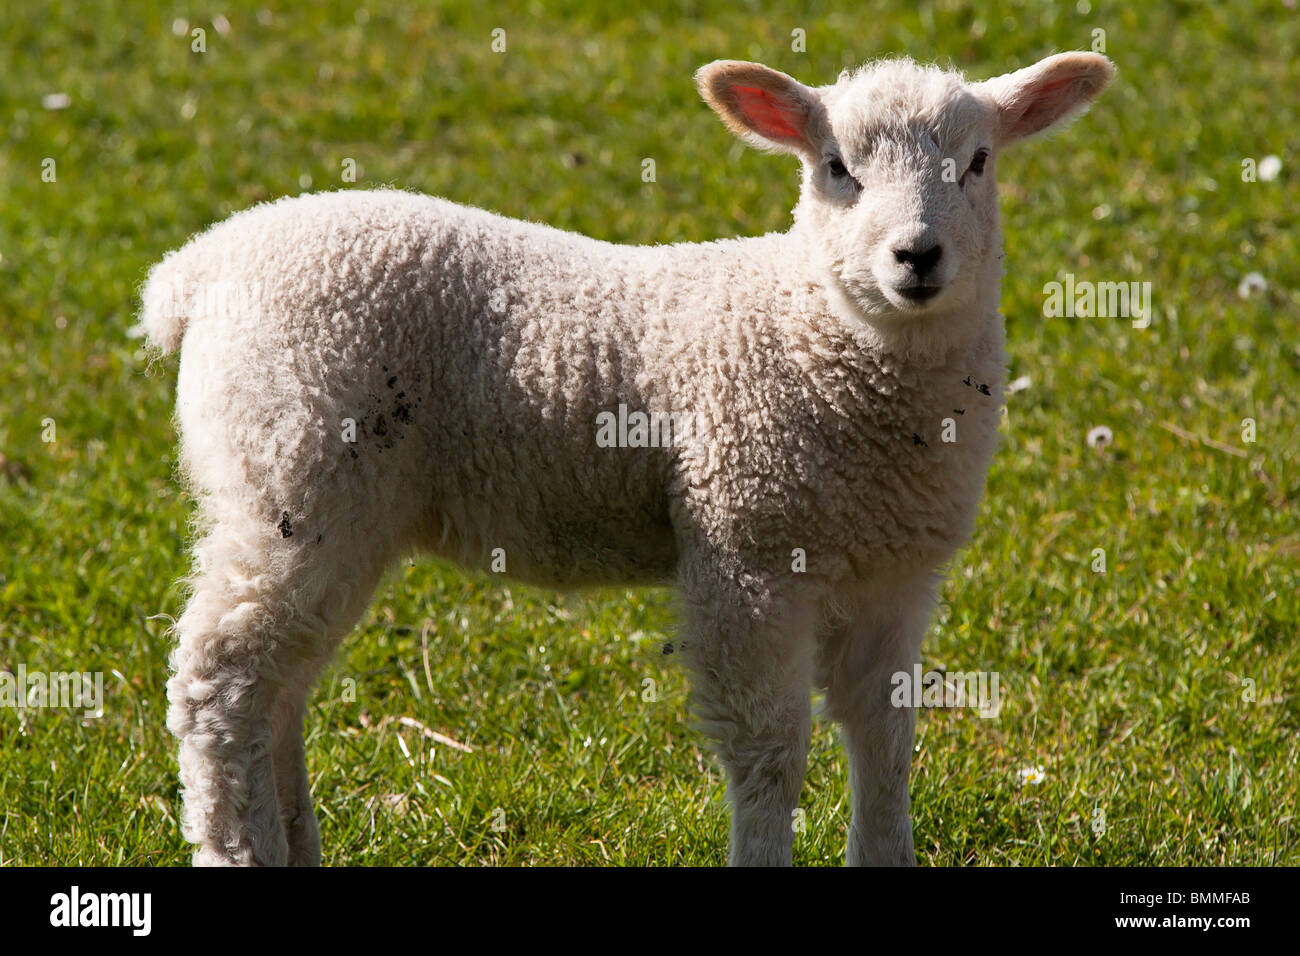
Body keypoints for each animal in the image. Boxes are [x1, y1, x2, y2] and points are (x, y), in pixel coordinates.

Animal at [140, 50, 1115, 867]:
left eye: (979, 162)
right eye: (838, 167)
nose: (917, 255)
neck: (812, 328)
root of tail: (199, 269)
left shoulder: (896, 574)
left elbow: (885, 739)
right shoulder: (744, 556)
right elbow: (771, 753)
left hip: (332, 510)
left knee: (282, 686)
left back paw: (293, 843)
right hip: (289, 475)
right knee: (221, 680)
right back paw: (237, 846)